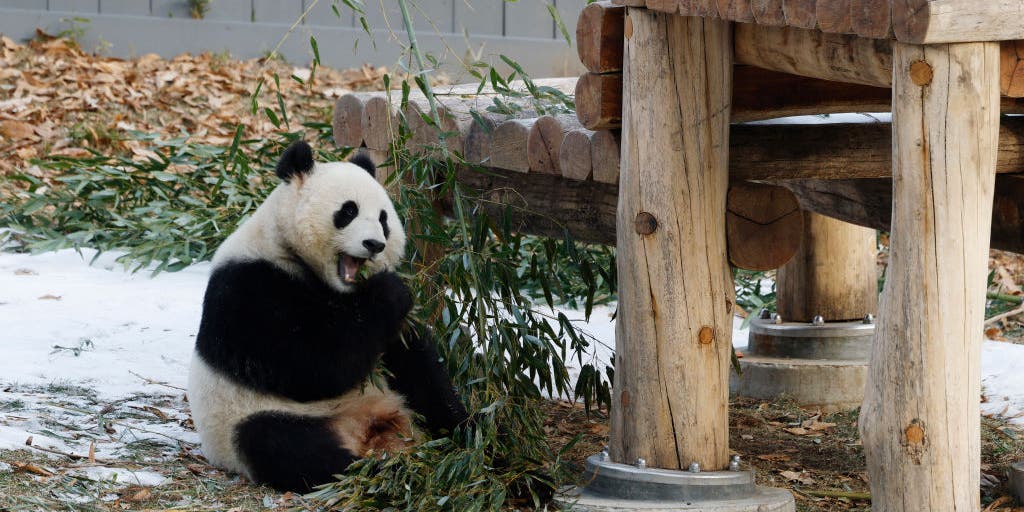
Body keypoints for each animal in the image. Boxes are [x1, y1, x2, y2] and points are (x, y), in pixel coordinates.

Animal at [187, 140, 469, 492]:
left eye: (383, 218)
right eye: (348, 211)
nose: (374, 244)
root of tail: (365, 427)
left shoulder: (391, 336)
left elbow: (417, 362)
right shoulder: (248, 286)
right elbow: (311, 364)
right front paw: (390, 291)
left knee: (431, 399)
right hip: (249, 419)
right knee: (283, 444)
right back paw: (382, 473)